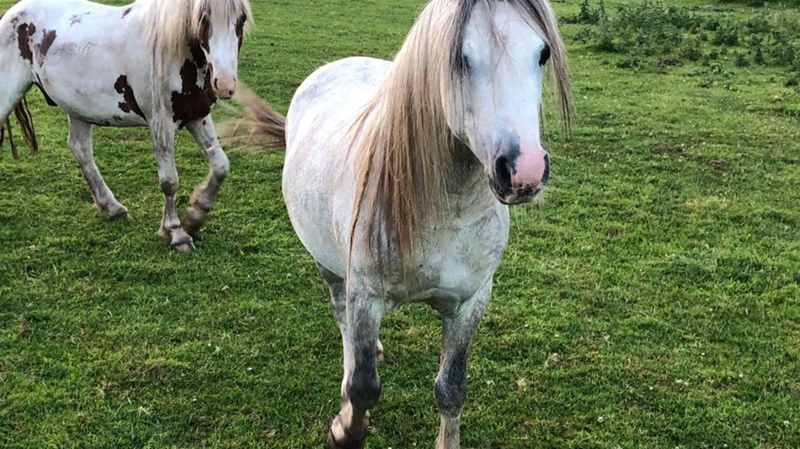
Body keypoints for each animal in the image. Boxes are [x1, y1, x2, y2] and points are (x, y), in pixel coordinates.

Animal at [0, 0, 262, 252]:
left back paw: (112, 207)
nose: (225, 84)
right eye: (203, 18)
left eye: (241, 19)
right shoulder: (160, 123)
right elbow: (169, 181)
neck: (174, 51)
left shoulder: (197, 116)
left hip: (78, 109)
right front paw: (176, 233)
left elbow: (220, 166)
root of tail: (13, 13)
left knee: (80, 149)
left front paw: (195, 217)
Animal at [229, 0, 573, 447]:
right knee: (342, 320)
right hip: (330, 267)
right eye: (458, 58)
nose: (524, 171)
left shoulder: (471, 302)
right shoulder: (365, 296)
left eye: (543, 53)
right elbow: (364, 387)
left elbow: (451, 388)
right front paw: (345, 428)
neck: (447, 212)